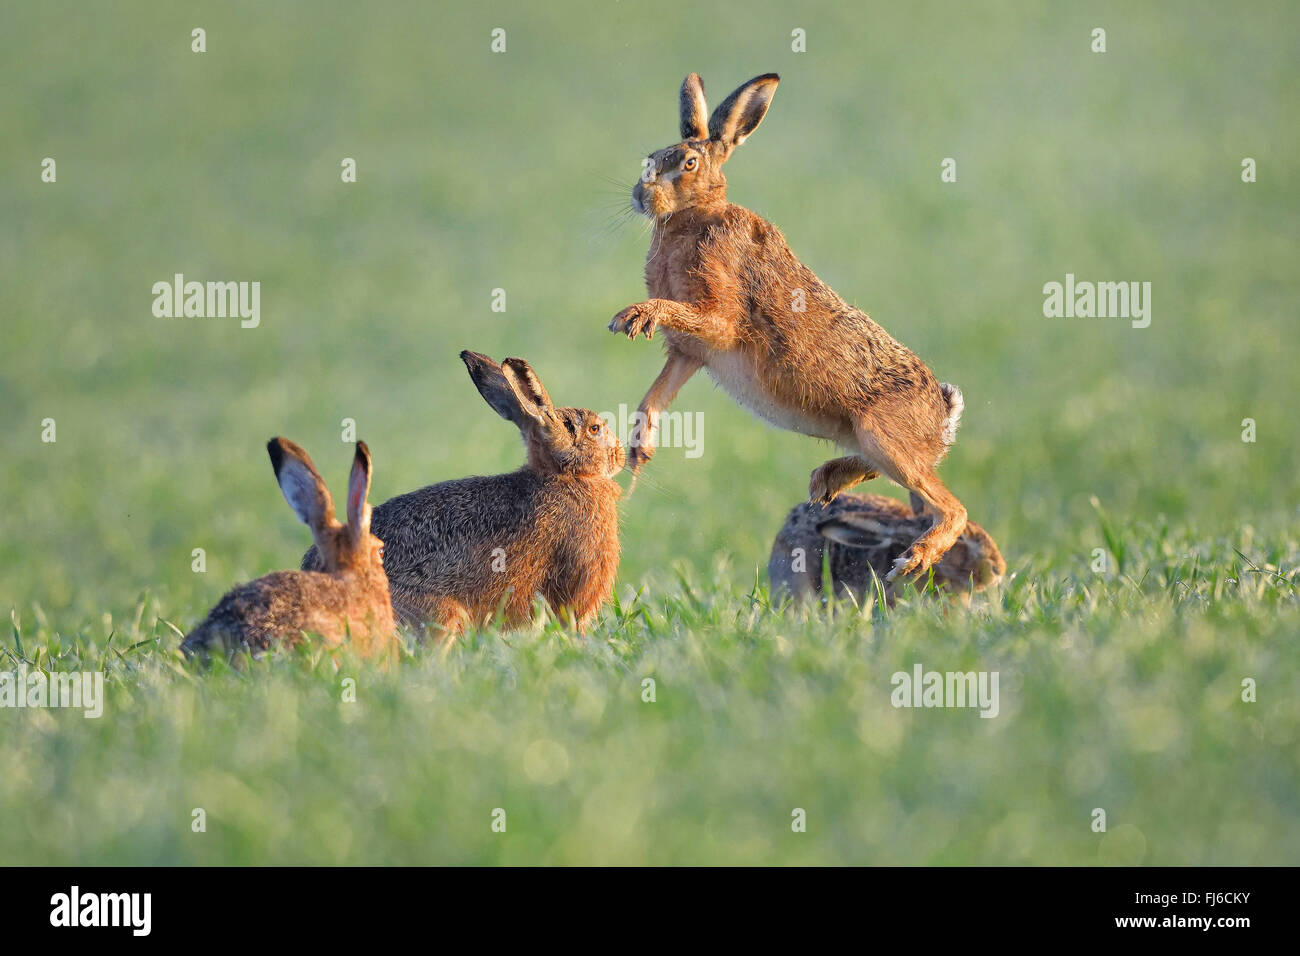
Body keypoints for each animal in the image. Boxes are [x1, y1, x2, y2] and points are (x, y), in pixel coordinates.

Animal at [609, 71, 969, 583]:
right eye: (654, 157)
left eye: (689, 163)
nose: (642, 197)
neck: (696, 216)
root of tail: (944, 412)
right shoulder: (688, 353)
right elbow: (654, 396)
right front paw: (639, 450)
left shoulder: (717, 322)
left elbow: (706, 322)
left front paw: (634, 314)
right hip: (873, 440)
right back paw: (827, 481)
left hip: (882, 434)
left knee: (951, 507)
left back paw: (913, 560)